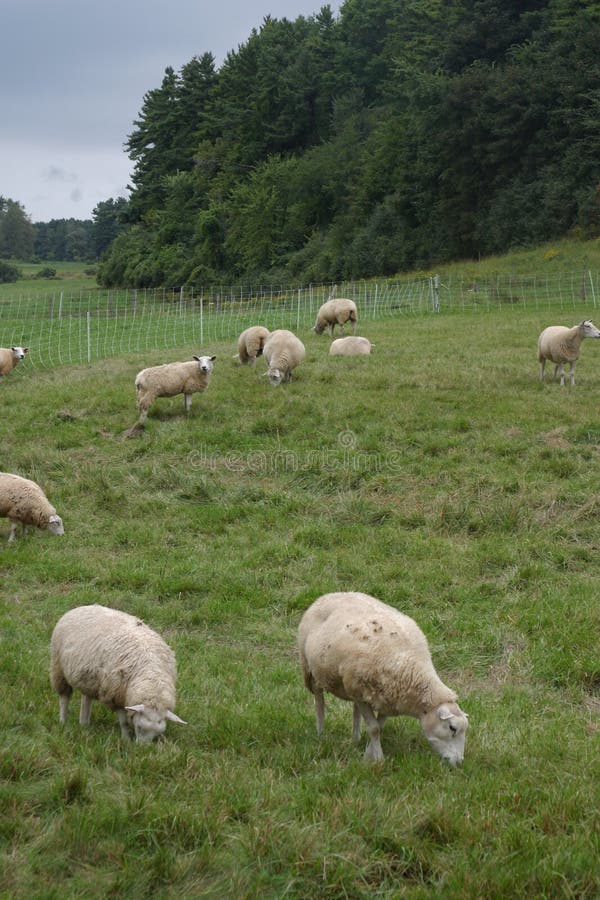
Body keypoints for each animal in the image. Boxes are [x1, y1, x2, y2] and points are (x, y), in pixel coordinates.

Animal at [50, 604, 187, 743]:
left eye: (158, 732)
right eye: (139, 727)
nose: (143, 747)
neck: (151, 675)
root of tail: (81, 607)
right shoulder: (116, 695)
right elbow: (124, 722)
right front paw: (126, 740)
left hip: (88, 677)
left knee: (86, 698)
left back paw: (84, 724)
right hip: (58, 667)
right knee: (64, 697)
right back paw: (63, 721)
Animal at [298, 591, 469, 765]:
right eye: (452, 728)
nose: (459, 762)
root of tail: (328, 595)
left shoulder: (388, 699)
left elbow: (379, 727)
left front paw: (368, 753)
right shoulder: (362, 694)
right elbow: (374, 728)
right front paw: (378, 759)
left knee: (354, 710)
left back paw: (355, 739)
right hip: (310, 669)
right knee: (319, 702)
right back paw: (321, 734)